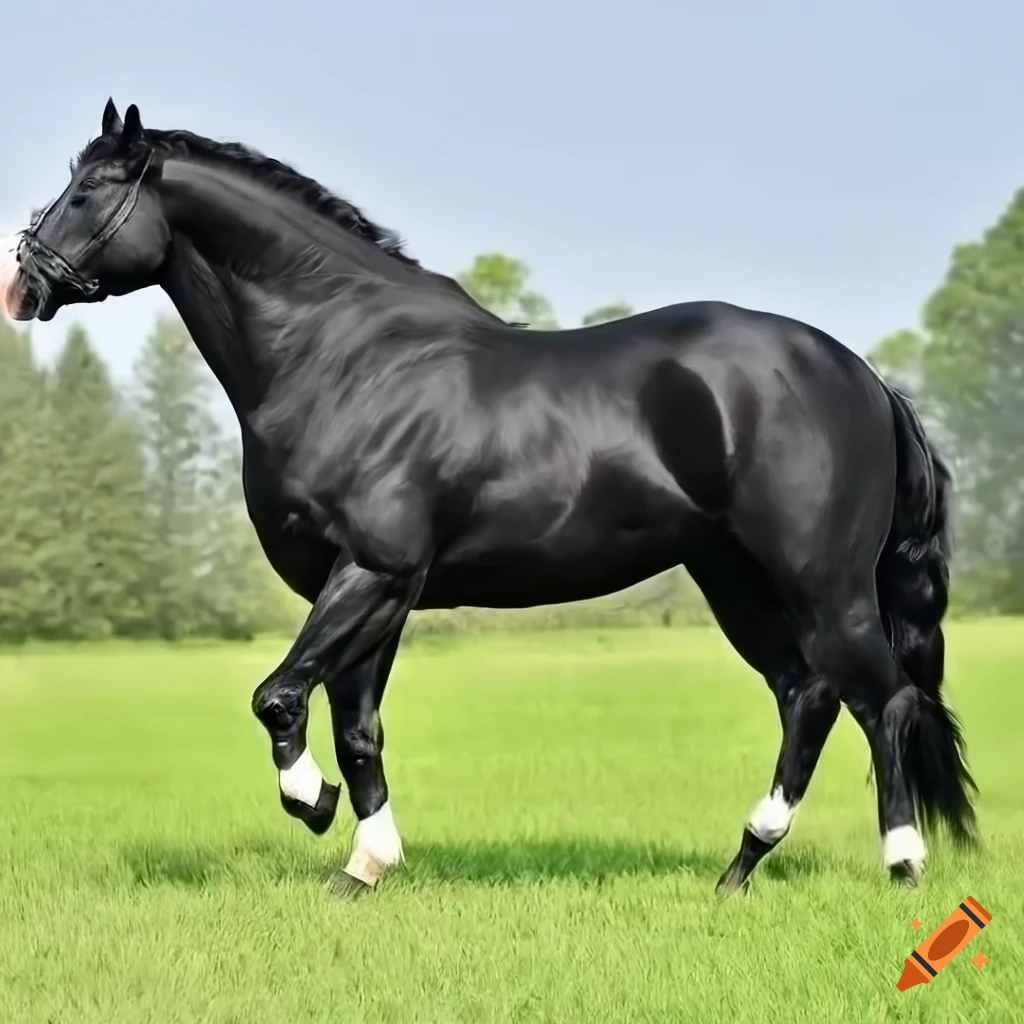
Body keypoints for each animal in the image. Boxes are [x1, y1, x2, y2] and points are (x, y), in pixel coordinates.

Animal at [1, 98, 977, 897]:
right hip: (735, 576)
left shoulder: (374, 572)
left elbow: (279, 697)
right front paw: (365, 864)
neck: (342, 360)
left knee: (882, 699)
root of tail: (859, 374)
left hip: (824, 581)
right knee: (806, 695)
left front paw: (312, 803)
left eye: (88, 192)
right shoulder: (370, 589)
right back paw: (740, 865)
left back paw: (902, 865)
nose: (21, 284)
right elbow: (357, 726)